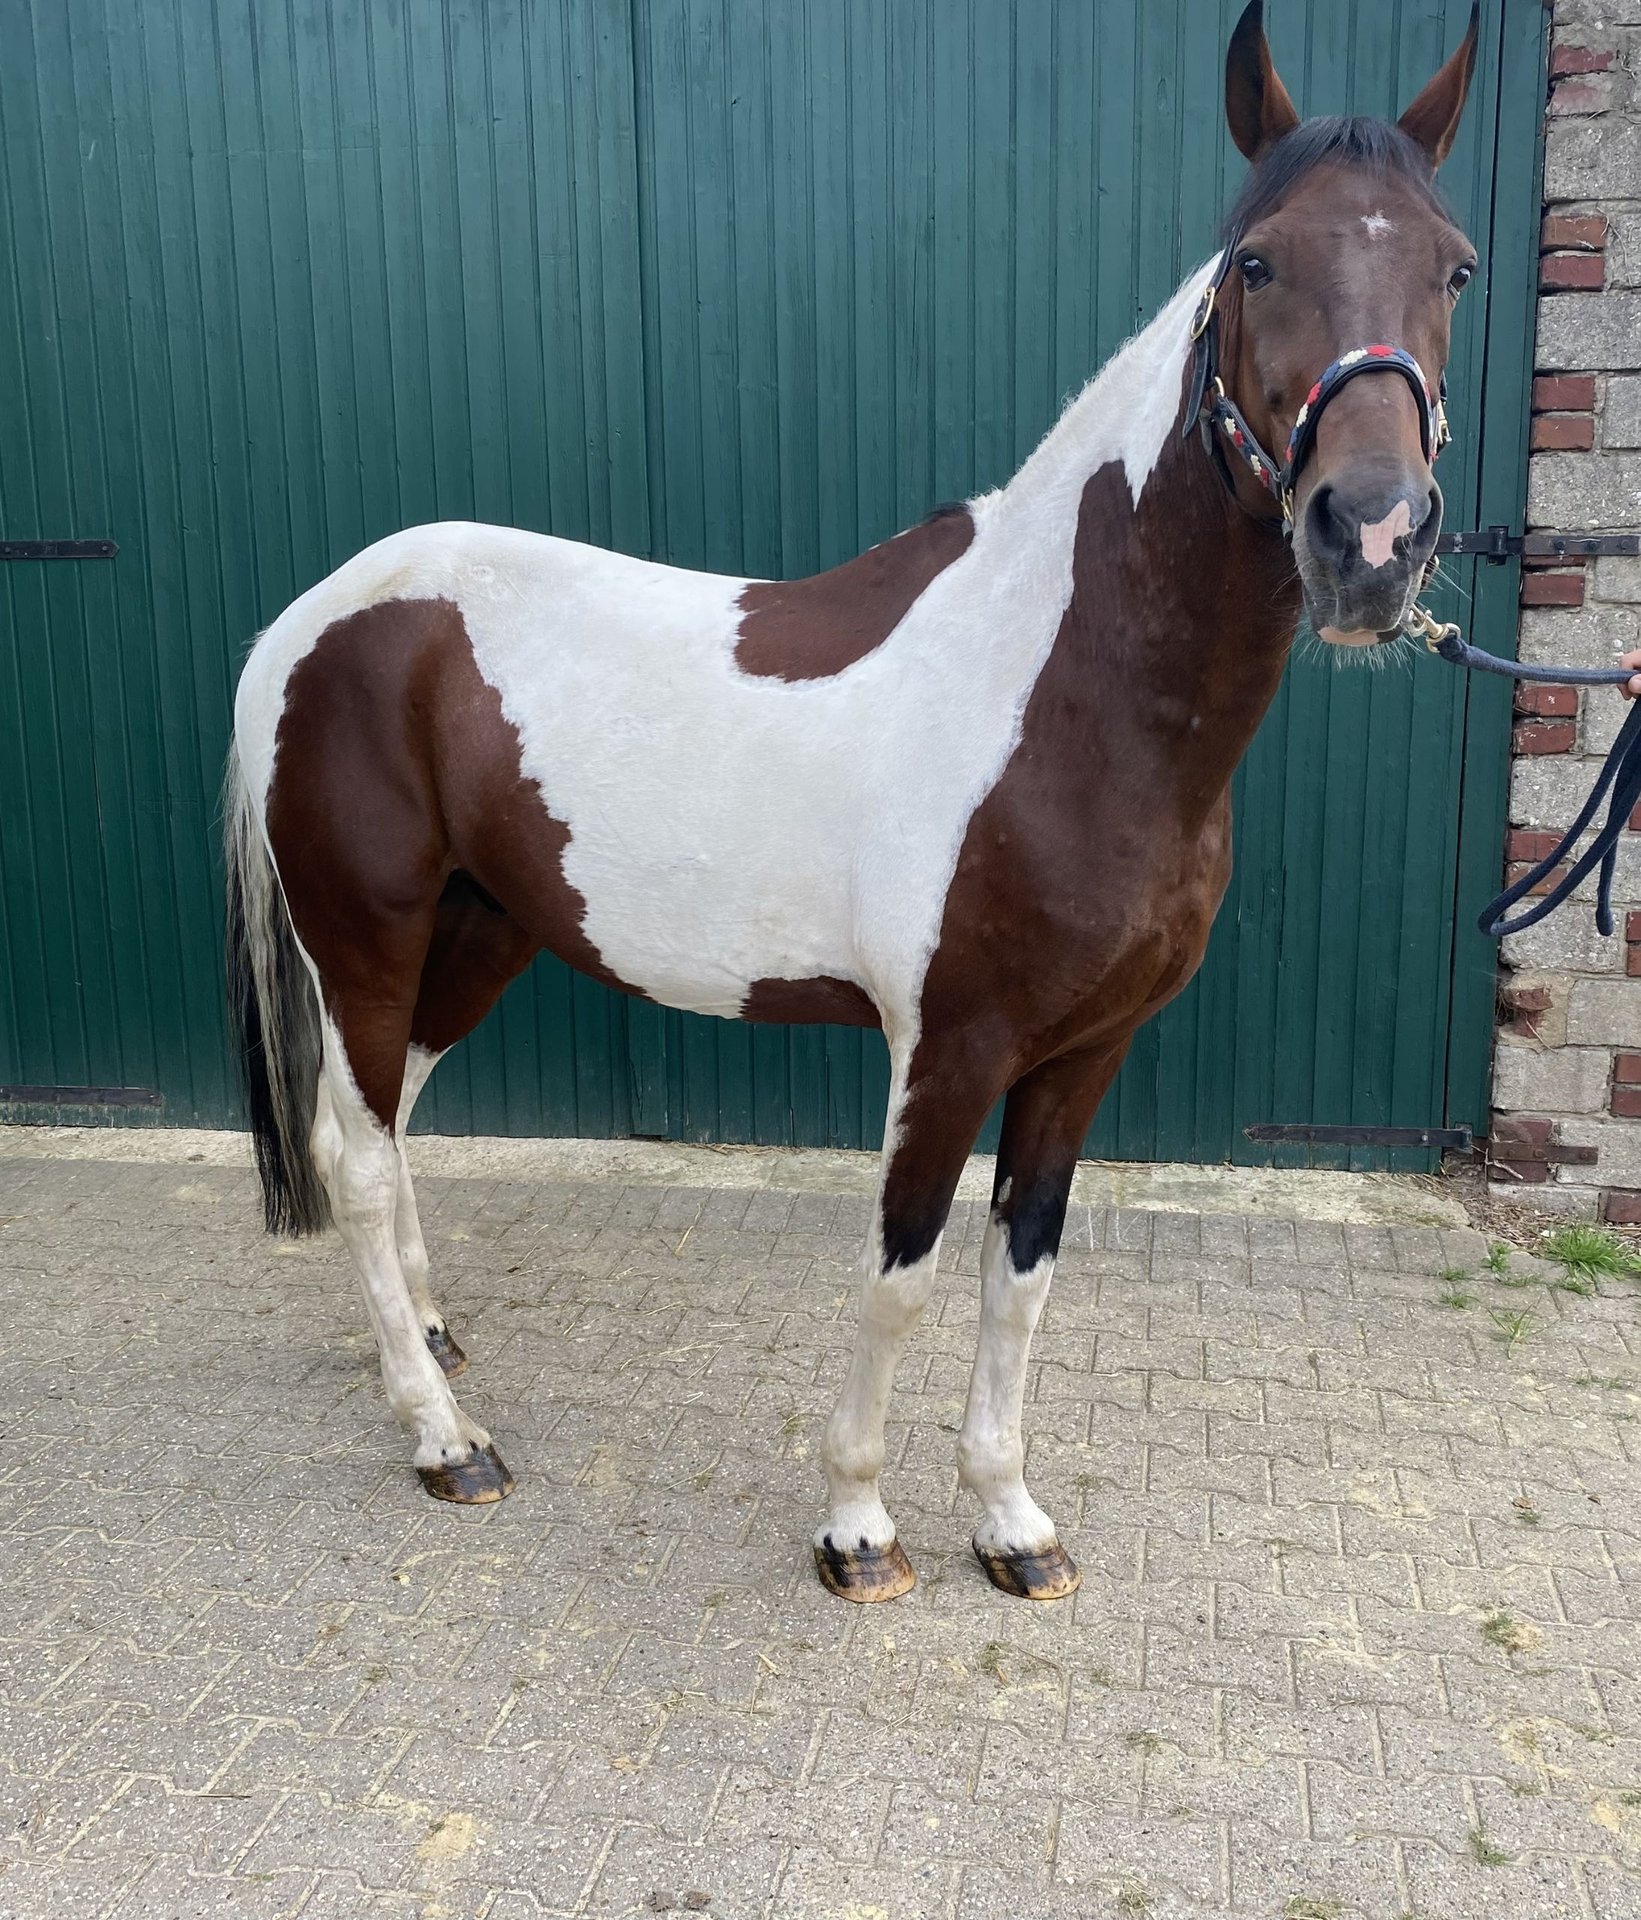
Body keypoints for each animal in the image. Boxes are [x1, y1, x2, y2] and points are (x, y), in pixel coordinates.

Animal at [224, 0, 1479, 1603]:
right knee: (357, 1156)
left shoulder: (1085, 1055)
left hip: (483, 930)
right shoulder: (945, 1048)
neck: (1066, 693)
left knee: (387, 1130)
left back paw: (436, 1349)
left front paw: (1011, 1522)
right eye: (1257, 261)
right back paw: (445, 1440)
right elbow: (901, 1280)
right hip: (367, 942)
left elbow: (1022, 1283)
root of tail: (310, 619)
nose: (1372, 539)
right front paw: (859, 1526)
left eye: (1453, 265)